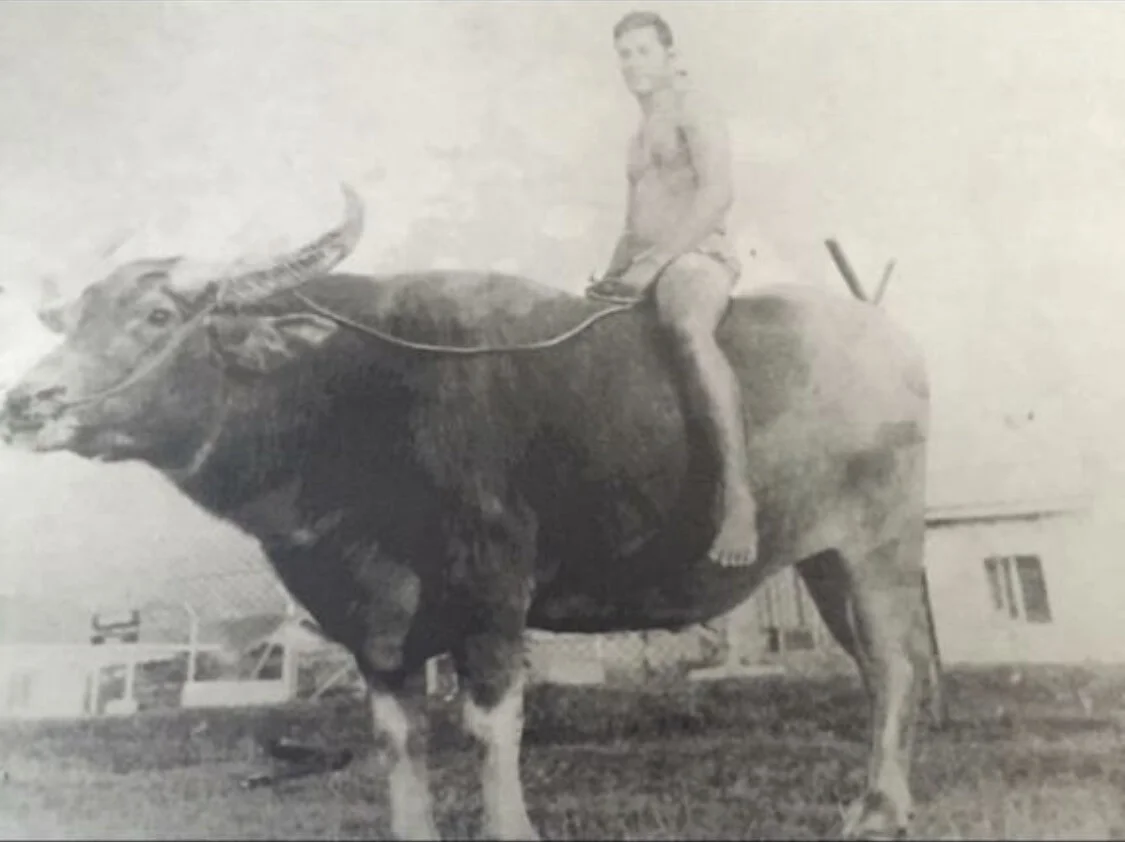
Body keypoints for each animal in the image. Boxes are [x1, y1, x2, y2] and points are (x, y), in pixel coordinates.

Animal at [1, 186, 935, 839]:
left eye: (157, 314)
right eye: (75, 317)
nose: (25, 402)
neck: (354, 399)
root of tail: (890, 342)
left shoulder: (492, 592)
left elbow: (490, 727)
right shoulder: (371, 623)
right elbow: (396, 738)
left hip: (881, 545)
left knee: (894, 664)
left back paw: (880, 810)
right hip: (820, 560)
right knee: (869, 664)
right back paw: (880, 800)